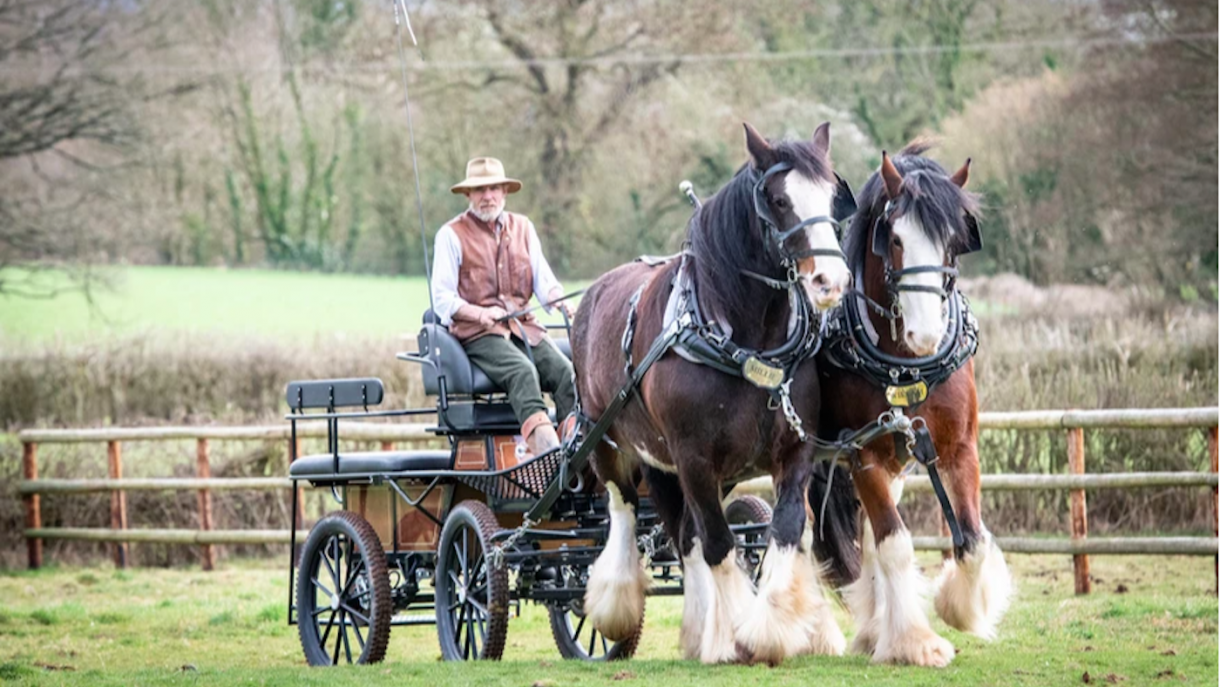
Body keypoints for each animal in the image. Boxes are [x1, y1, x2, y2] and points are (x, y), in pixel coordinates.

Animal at [569, 122, 856, 665]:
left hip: (683, 470)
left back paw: (699, 631)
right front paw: (739, 634)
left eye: (832, 197)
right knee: (626, 512)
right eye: (779, 200)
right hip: (614, 446)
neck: (745, 341)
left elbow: (786, 529)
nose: (831, 281)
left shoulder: (793, 452)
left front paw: (772, 627)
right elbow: (720, 544)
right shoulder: (693, 457)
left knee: (684, 535)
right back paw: (623, 605)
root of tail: (592, 294)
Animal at [809, 142, 1012, 667]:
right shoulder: (863, 452)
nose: (926, 334)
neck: (907, 367)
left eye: (953, 240)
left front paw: (959, 608)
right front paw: (916, 642)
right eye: (895, 239)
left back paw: (870, 628)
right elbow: (896, 543)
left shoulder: (957, 448)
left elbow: (972, 542)